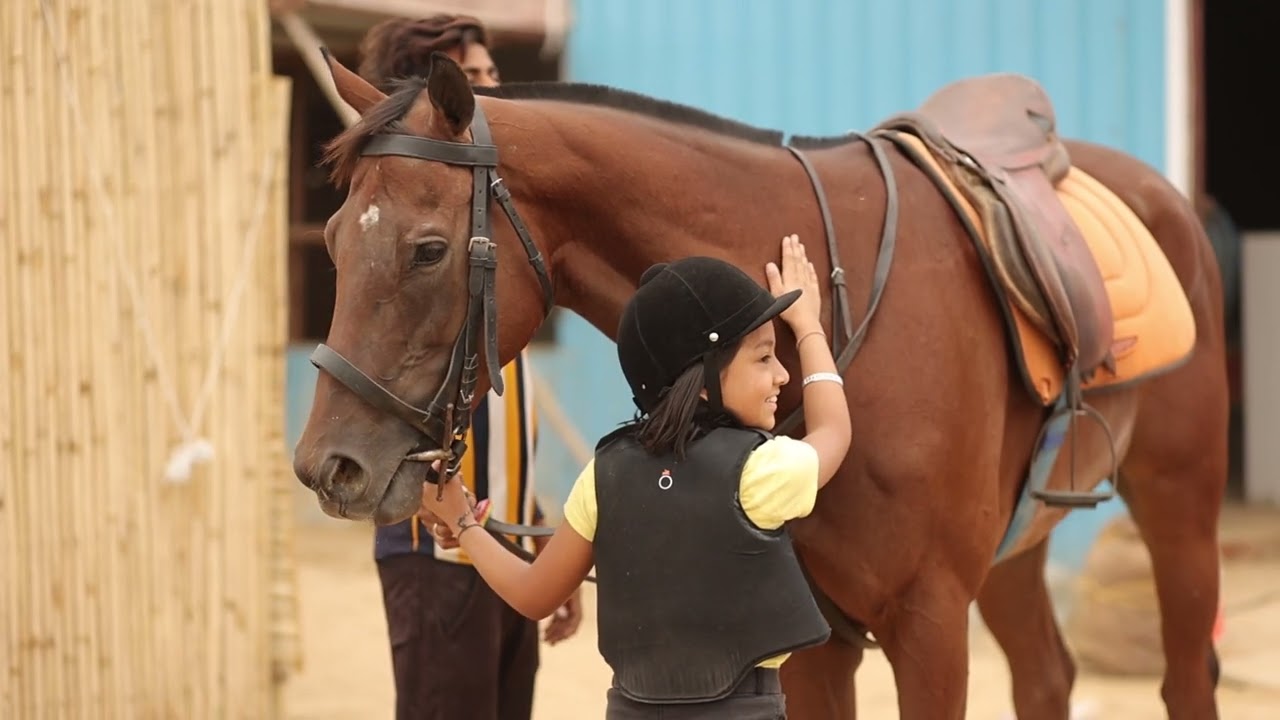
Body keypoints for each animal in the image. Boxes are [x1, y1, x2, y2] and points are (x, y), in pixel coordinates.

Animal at [292, 51, 1227, 719]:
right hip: (1016, 548)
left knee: (1184, 682)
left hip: (1177, 506)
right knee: (1046, 678)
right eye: (331, 239)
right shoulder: (820, 643)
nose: (326, 467)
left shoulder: (928, 622)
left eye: (428, 250)